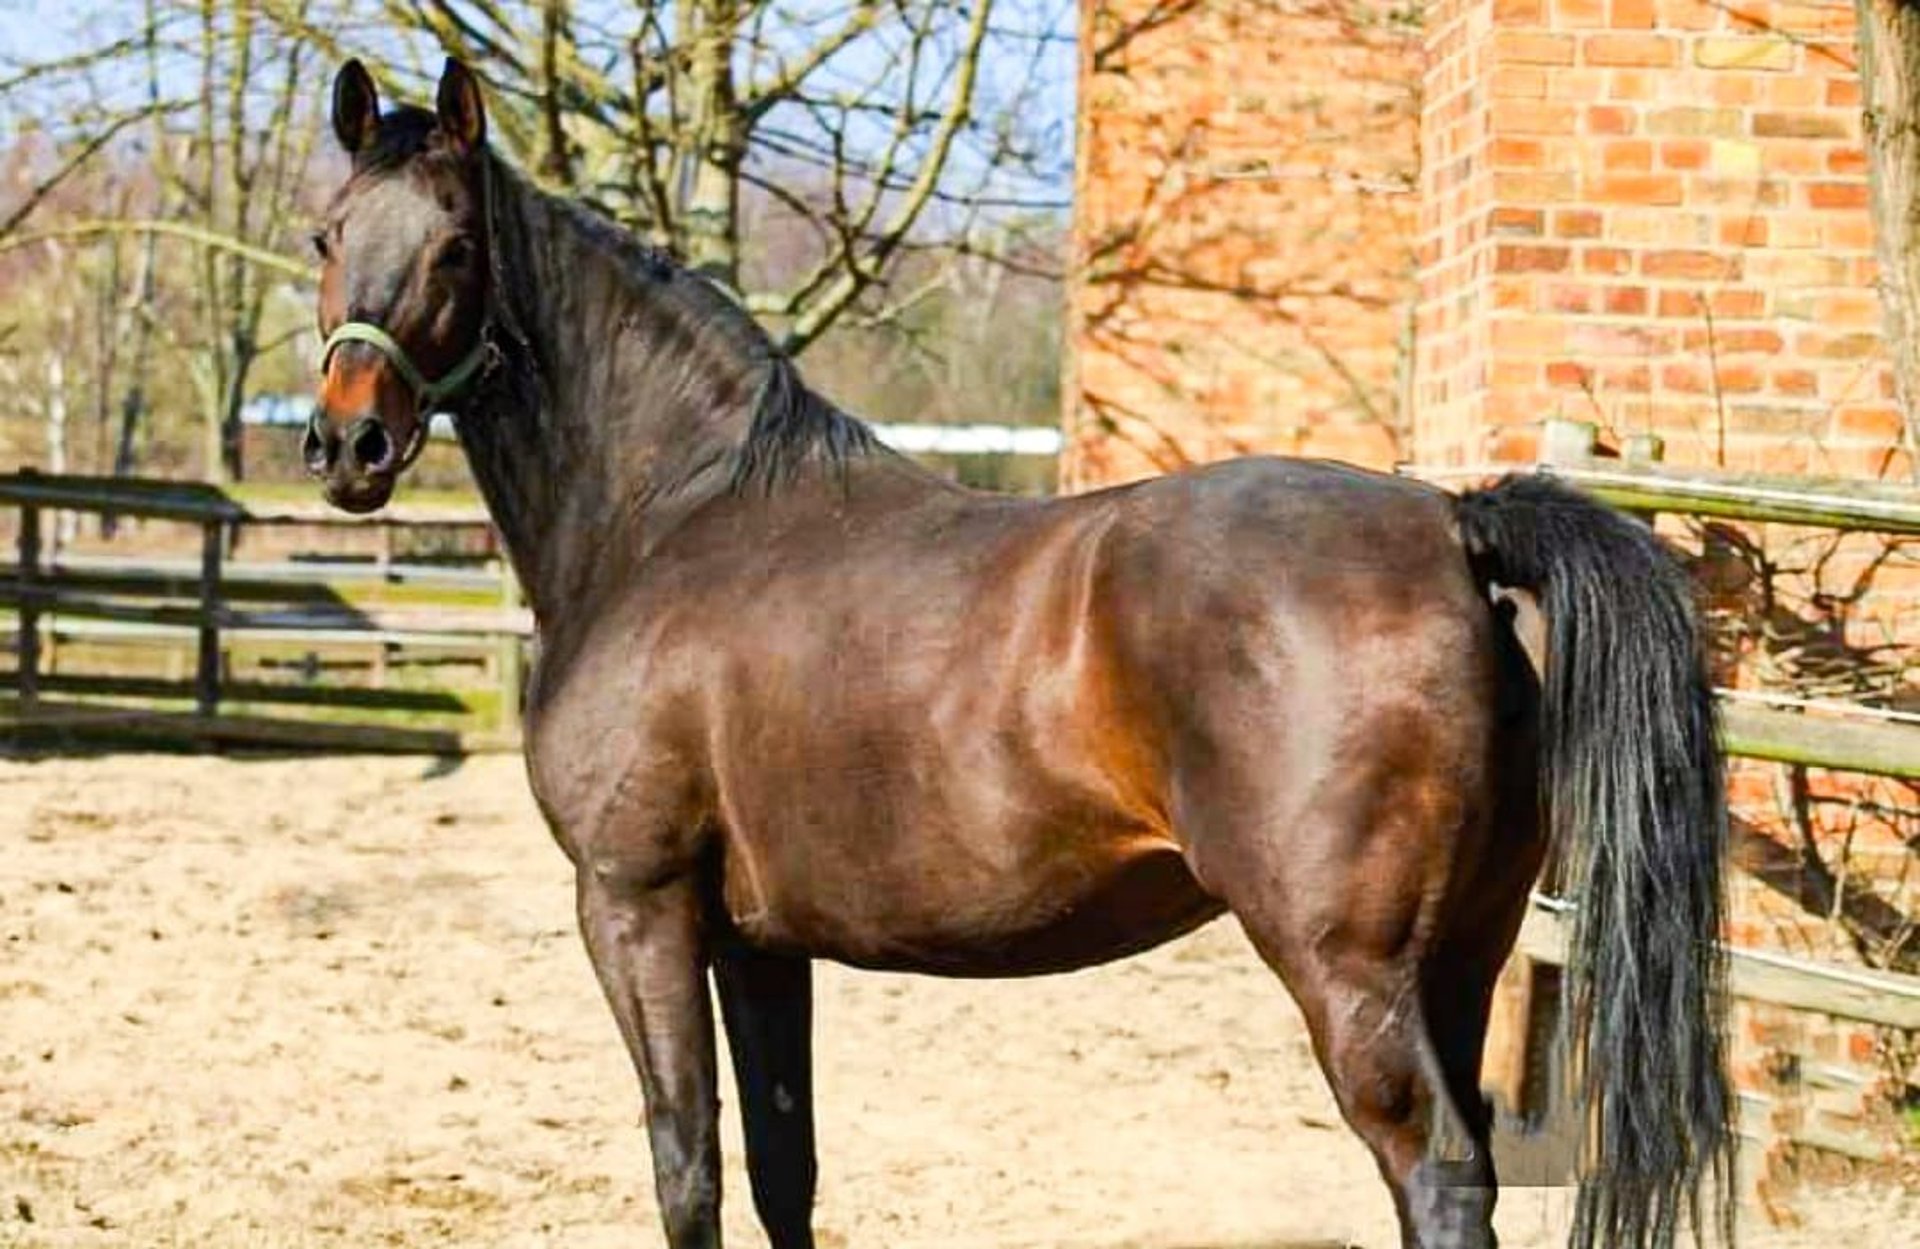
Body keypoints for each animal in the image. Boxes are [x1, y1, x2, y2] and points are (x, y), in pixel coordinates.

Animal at [302, 57, 1734, 1249]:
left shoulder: (635, 903)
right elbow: (782, 1168)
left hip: (1352, 971)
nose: (346, 445)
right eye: (327, 236)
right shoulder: (758, 939)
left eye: (456, 245)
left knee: (1433, 1173)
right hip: (1462, 955)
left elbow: (687, 1168)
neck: (676, 516)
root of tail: (1450, 523)